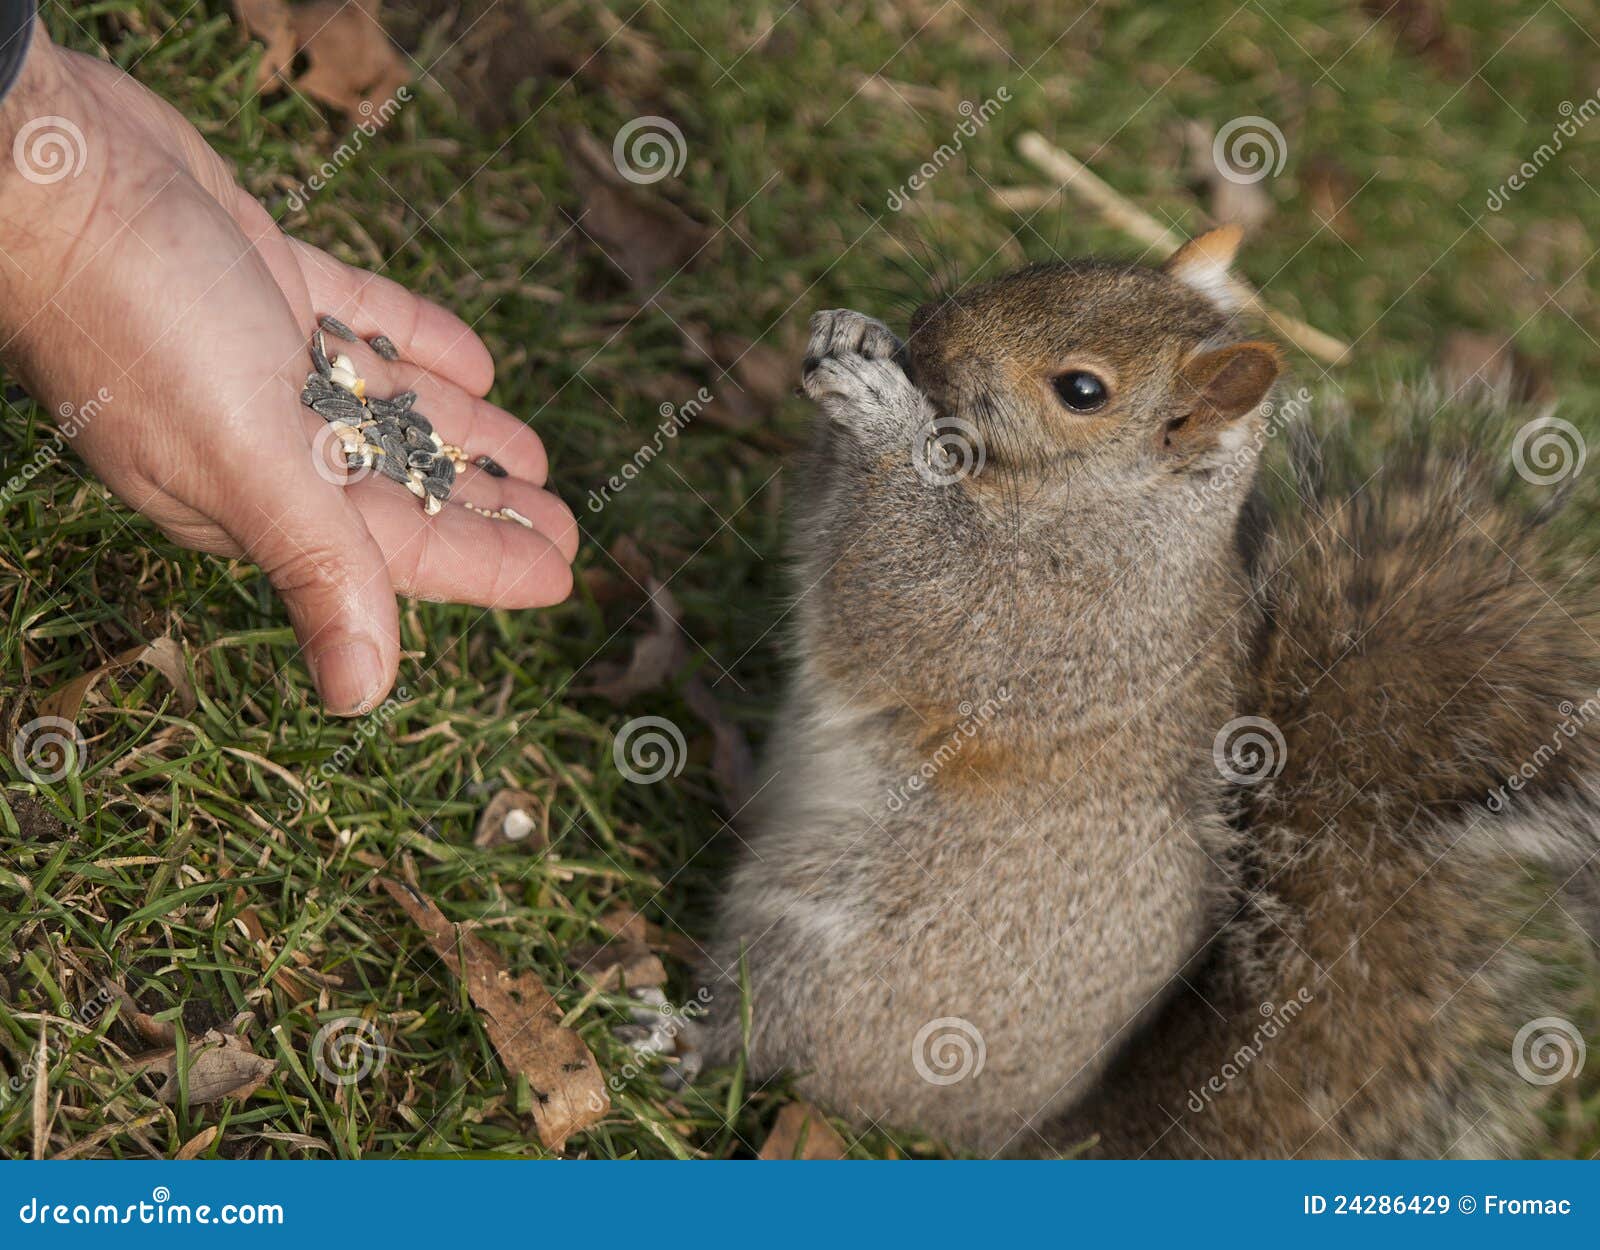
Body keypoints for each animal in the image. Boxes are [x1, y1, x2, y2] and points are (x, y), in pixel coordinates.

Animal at [698, 226, 1600, 1158]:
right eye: (1053, 268)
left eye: (1082, 391)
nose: (929, 329)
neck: (1119, 505)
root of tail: (1032, 1135)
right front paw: (860, 336)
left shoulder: (1043, 624)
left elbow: (897, 589)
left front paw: (882, 410)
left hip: (820, 944)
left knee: (765, 1040)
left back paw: (677, 1033)